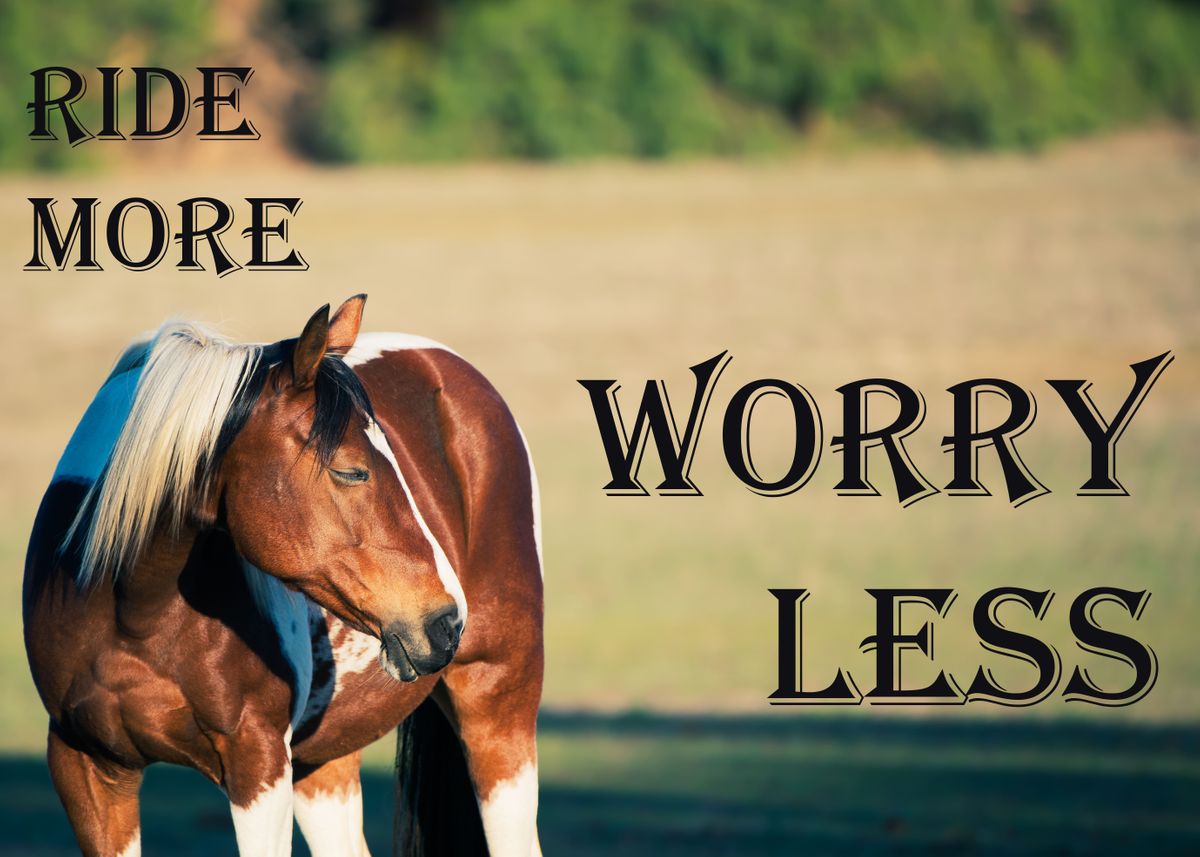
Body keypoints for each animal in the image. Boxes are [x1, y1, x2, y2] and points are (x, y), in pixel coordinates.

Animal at [23, 295, 545, 857]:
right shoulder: (86, 767)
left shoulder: (259, 764)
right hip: (325, 758)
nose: (446, 621)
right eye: (349, 470)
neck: (134, 611)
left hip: (499, 706)